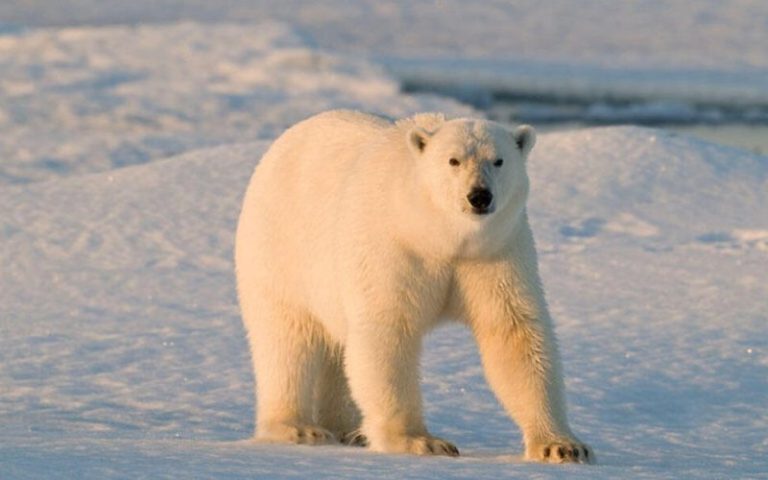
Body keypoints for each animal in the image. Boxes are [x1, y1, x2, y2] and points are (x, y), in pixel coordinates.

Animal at [235, 110, 592, 463]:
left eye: (499, 160)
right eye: (453, 160)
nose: (479, 196)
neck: (434, 233)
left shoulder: (494, 253)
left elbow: (513, 332)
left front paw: (562, 446)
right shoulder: (392, 248)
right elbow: (388, 331)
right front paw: (421, 442)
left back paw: (349, 431)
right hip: (280, 249)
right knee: (287, 339)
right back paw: (298, 428)